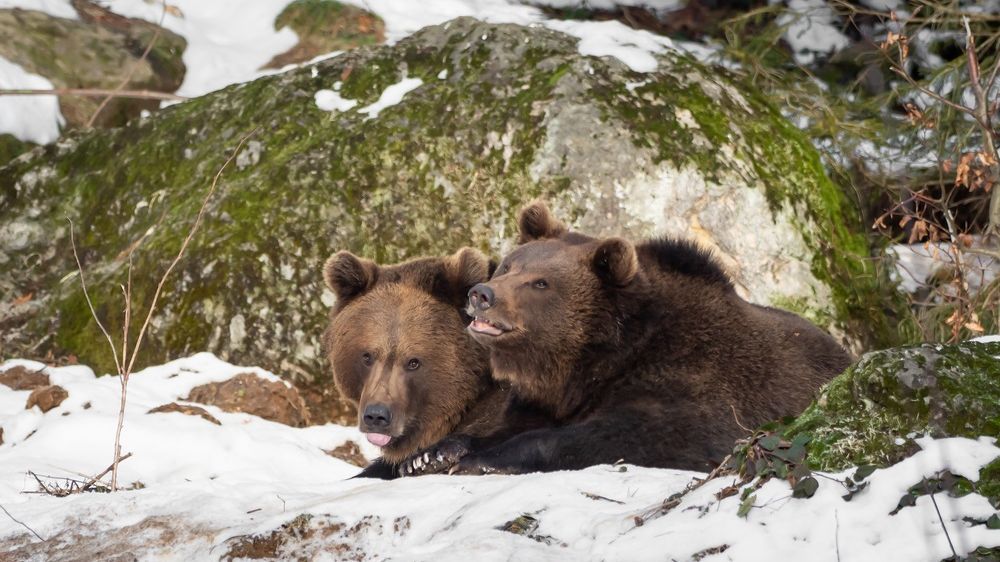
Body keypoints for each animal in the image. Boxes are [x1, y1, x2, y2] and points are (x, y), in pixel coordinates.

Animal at [398, 201, 852, 472]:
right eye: (509, 265)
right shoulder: (547, 399)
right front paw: (430, 455)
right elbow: (502, 425)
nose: (482, 294)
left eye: (541, 283)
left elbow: (641, 435)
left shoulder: (692, 382)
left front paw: (485, 459)